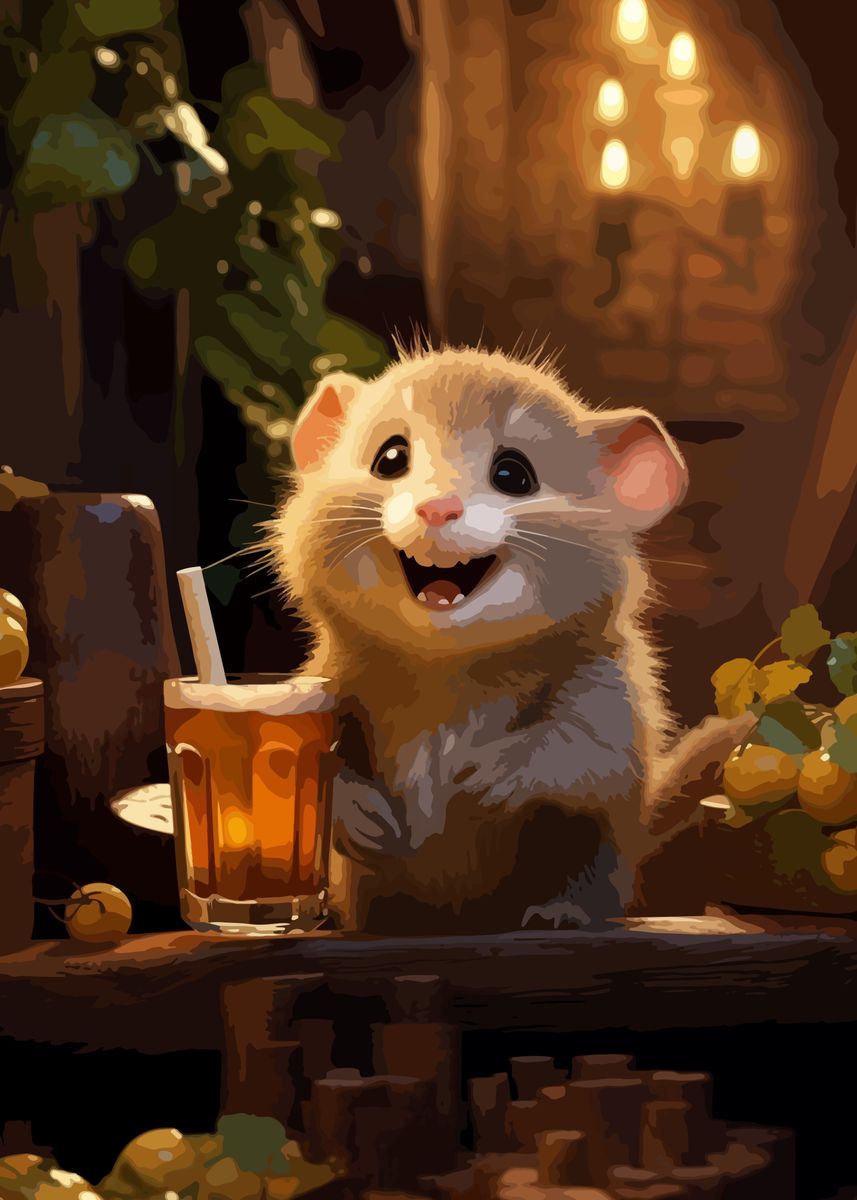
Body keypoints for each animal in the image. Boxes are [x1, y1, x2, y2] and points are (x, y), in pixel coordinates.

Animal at [270, 344, 709, 934]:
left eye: (514, 474)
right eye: (390, 458)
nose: (438, 508)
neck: (447, 667)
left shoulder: (605, 698)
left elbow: (576, 752)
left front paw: (476, 778)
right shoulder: (329, 685)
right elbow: (322, 772)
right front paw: (373, 821)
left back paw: (556, 915)